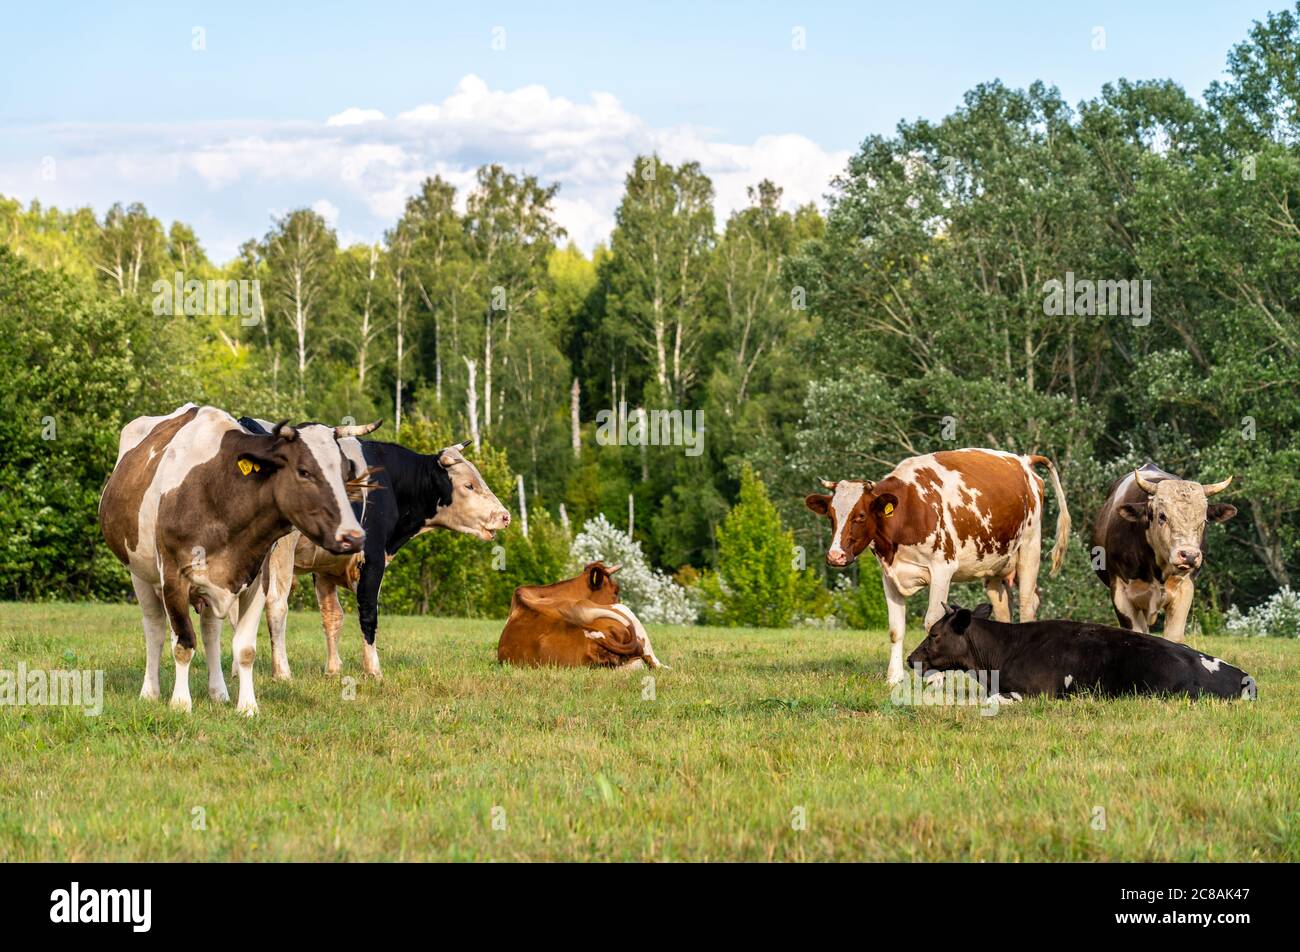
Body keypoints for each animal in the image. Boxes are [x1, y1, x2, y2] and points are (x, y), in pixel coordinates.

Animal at [99, 404, 379, 715]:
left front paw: (247, 707)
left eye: (343, 473)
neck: (218, 492)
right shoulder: (173, 577)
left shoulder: (256, 581)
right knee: (155, 629)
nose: (353, 537)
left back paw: (218, 692)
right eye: (304, 471)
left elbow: (244, 649)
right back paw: (150, 691)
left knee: (210, 631)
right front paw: (181, 703)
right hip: (140, 575)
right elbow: (182, 643)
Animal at [245, 421, 511, 679]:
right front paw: (373, 670)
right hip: (281, 551)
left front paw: (333, 670)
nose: (505, 516)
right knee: (277, 605)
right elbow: (368, 612)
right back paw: (282, 673)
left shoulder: (324, 567)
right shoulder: (372, 557)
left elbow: (332, 616)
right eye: (469, 485)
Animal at [805, 449, 1071, 684]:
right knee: (1004, 609)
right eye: (830, 516)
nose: (835, 556)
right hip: (994, 565)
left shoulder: (942, 569)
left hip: (1029, 550)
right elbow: (895, 629)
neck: (907, 513)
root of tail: (1024, 460)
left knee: (1027, 606)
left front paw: (935, 681)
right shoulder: (889, 575)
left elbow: (931, 620)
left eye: (860, 516)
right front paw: (894, 678)